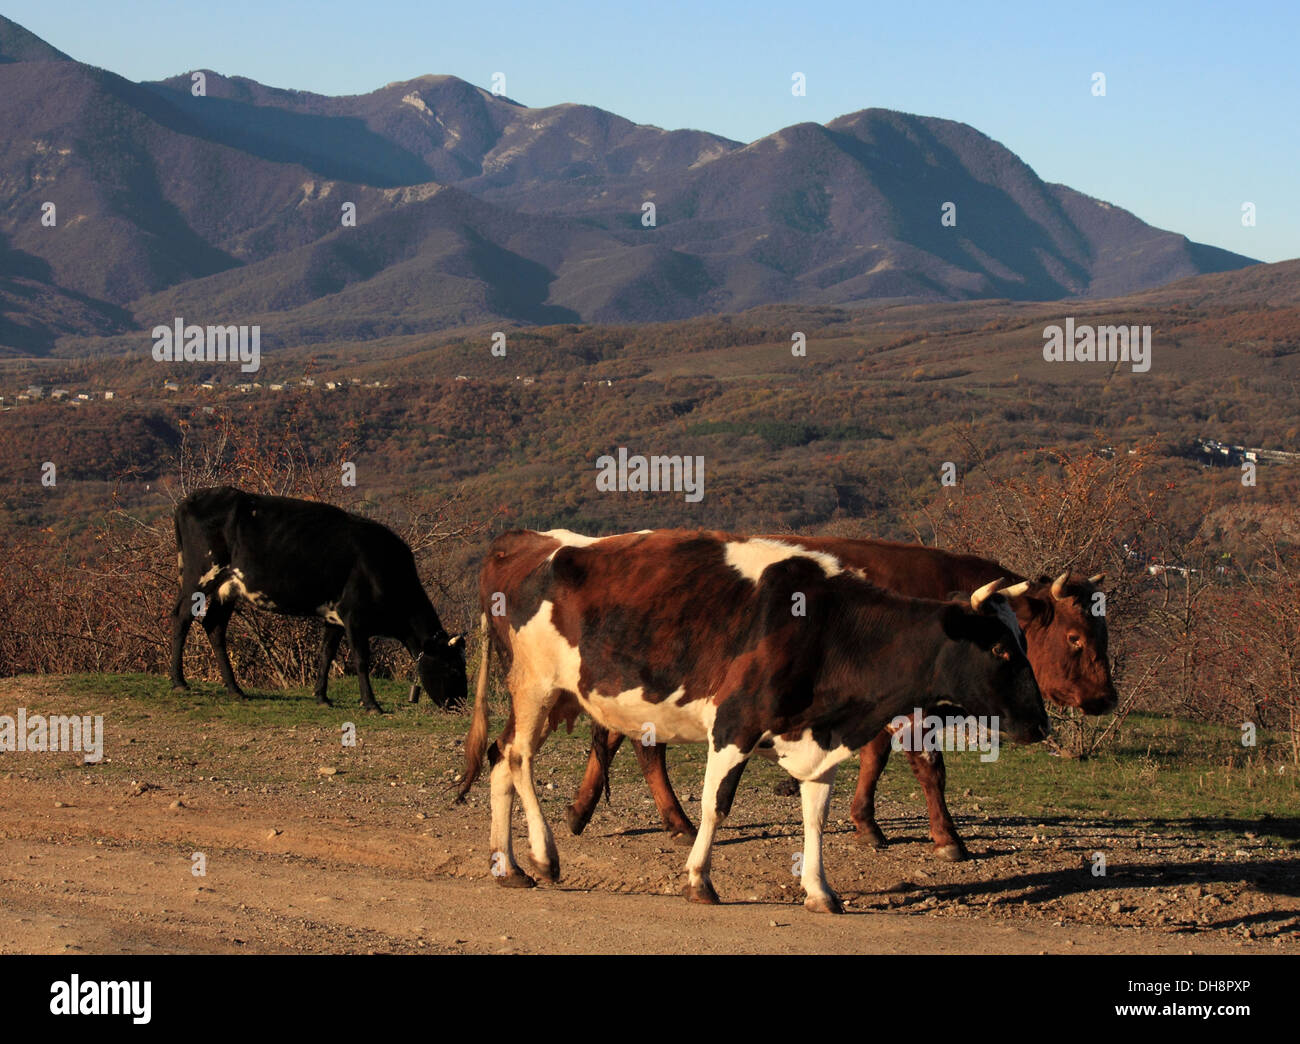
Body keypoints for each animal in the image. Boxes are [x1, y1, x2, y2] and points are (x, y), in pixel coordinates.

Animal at [168, 486, 467, 713]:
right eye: (454, 668)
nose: (460, 704)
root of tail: (190, 499)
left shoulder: (334, 617)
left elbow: (326, 654)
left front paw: (322, 697)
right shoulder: (354, 617)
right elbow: (361, 660)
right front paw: (371, 704)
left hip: (226, 588)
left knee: (214, 627)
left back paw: (235, 689)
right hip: (200, 575)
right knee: (182, 617)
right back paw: (179, 681)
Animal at [458, 529, 1049, 913]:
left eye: (1024, 642)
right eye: (1000, 649)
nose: (1042, 724)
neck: (826, 626)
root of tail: (528, 541)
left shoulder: (818, 737)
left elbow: (816, 816)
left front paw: (820, 891)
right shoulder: (734, 724)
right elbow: (716, 806)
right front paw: (699, 880)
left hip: (553, 696)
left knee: (499, 759)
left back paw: (507, 867)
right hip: (535, 687)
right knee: (518, 758)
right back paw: (544, 857)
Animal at [566, 535, 1115, 859]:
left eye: (1102, 631)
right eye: (1075, 638)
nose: (1106, 697)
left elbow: (874, 757)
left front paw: (865, 823)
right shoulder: (913, 710)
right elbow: (929, 768)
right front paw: (948, 839)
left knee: (620, 740)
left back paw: (585, 811)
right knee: (639, 747)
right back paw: (670, 820)